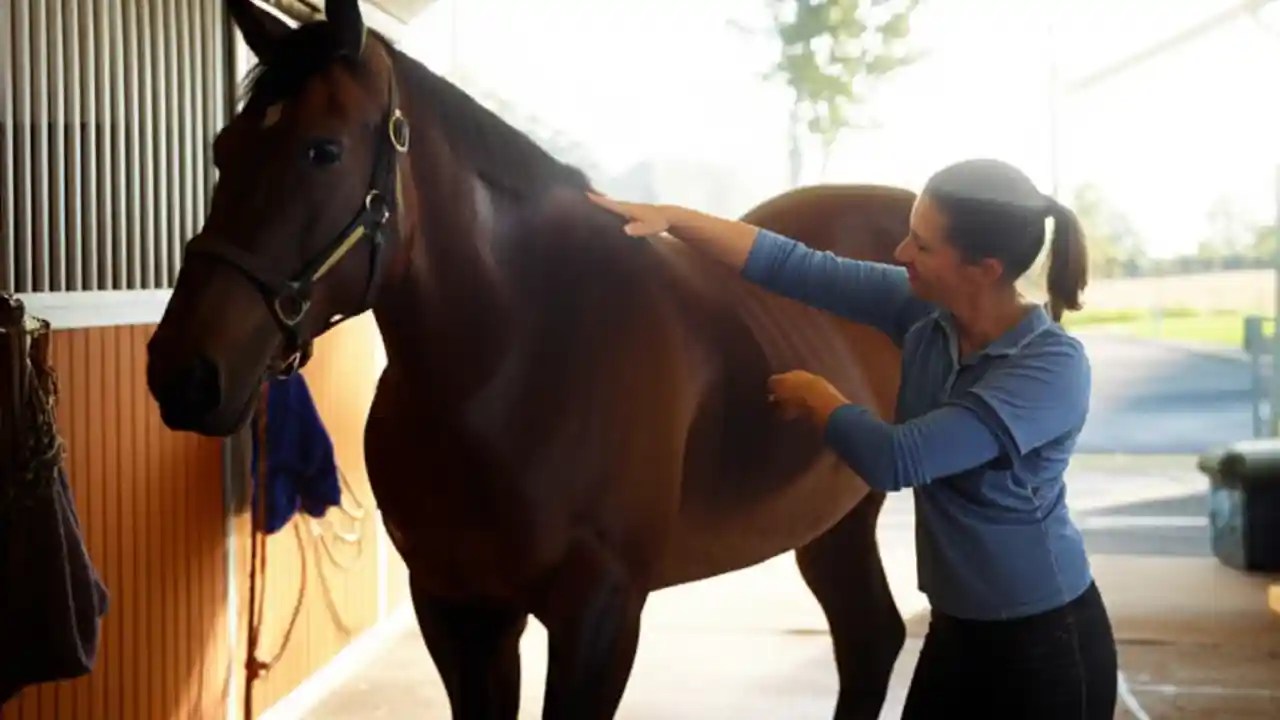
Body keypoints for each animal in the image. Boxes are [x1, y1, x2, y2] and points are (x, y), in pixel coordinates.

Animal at [145, 1, 916, 717]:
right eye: (223, 149)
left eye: (323, 151)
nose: (182, 373)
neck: (516, 360)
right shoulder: (458, 609)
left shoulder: (600, 615)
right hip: (839, 520)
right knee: (870, 639)